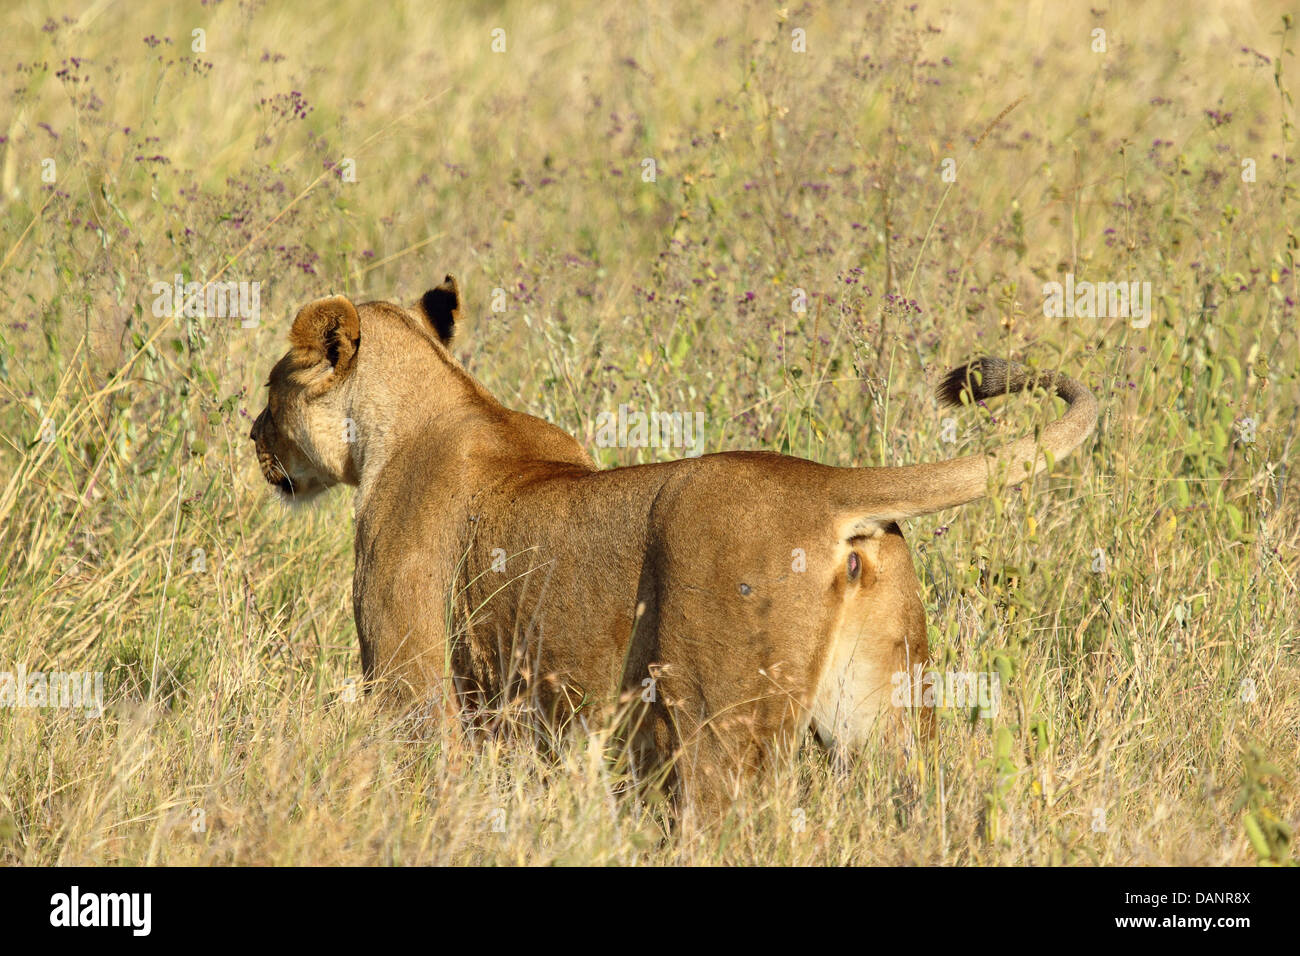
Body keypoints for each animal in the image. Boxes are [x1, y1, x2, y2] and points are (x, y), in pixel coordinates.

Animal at [250, 275, 1098, 814]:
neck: (435, 407)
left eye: (269, 387)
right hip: (881, 719)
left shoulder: (414, 681)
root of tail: (828, 485)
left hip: (715, 718)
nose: (252, 437)